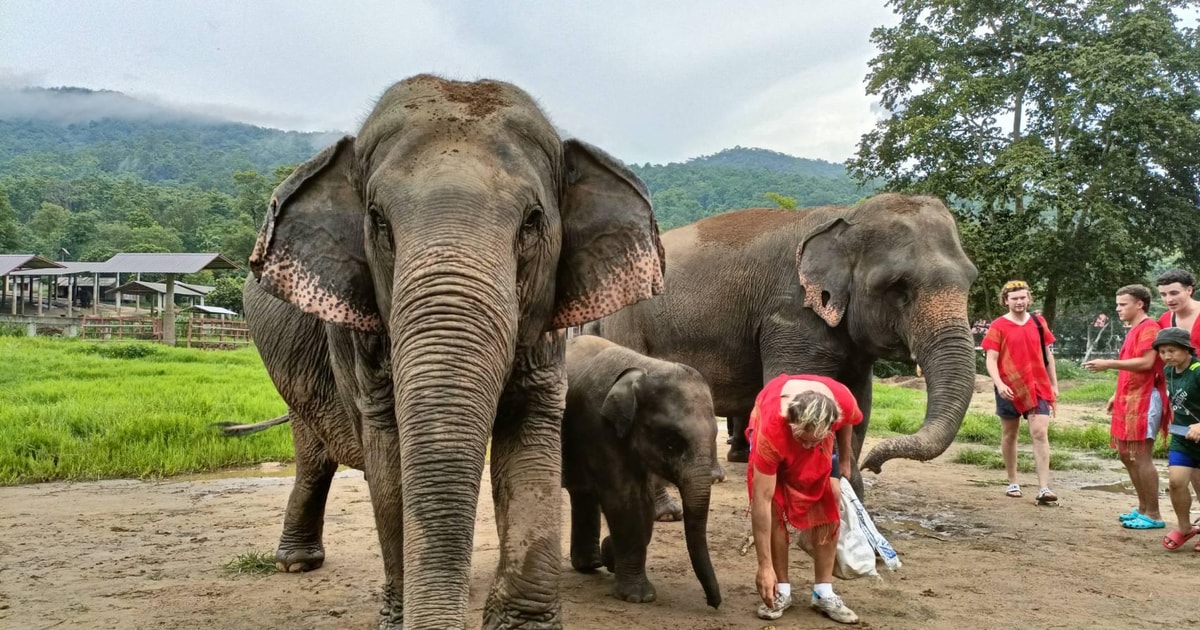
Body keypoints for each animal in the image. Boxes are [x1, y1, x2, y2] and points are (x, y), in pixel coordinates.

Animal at [242, 74, 665, 630]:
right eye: (377, 220)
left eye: (532, 221)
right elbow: (389, 455)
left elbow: (531, 436)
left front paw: (522, 625)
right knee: (315, 459)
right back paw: (295, 564)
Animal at [561, 335, 721, 609]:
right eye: (672, 441)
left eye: (714, 436)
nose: (714, 603)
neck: (645, 368)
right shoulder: (598, 427)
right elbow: (626, 498)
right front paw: (639, 597)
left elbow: (644, 502)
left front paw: (611, 556)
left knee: (583, 494)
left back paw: (590, 565)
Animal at [583, 193, 979, 495]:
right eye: (899, 287)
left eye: (972, 278)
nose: (874, 465)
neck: (846, 216)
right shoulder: (789, 314)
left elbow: (858, 402)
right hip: (628, 323)